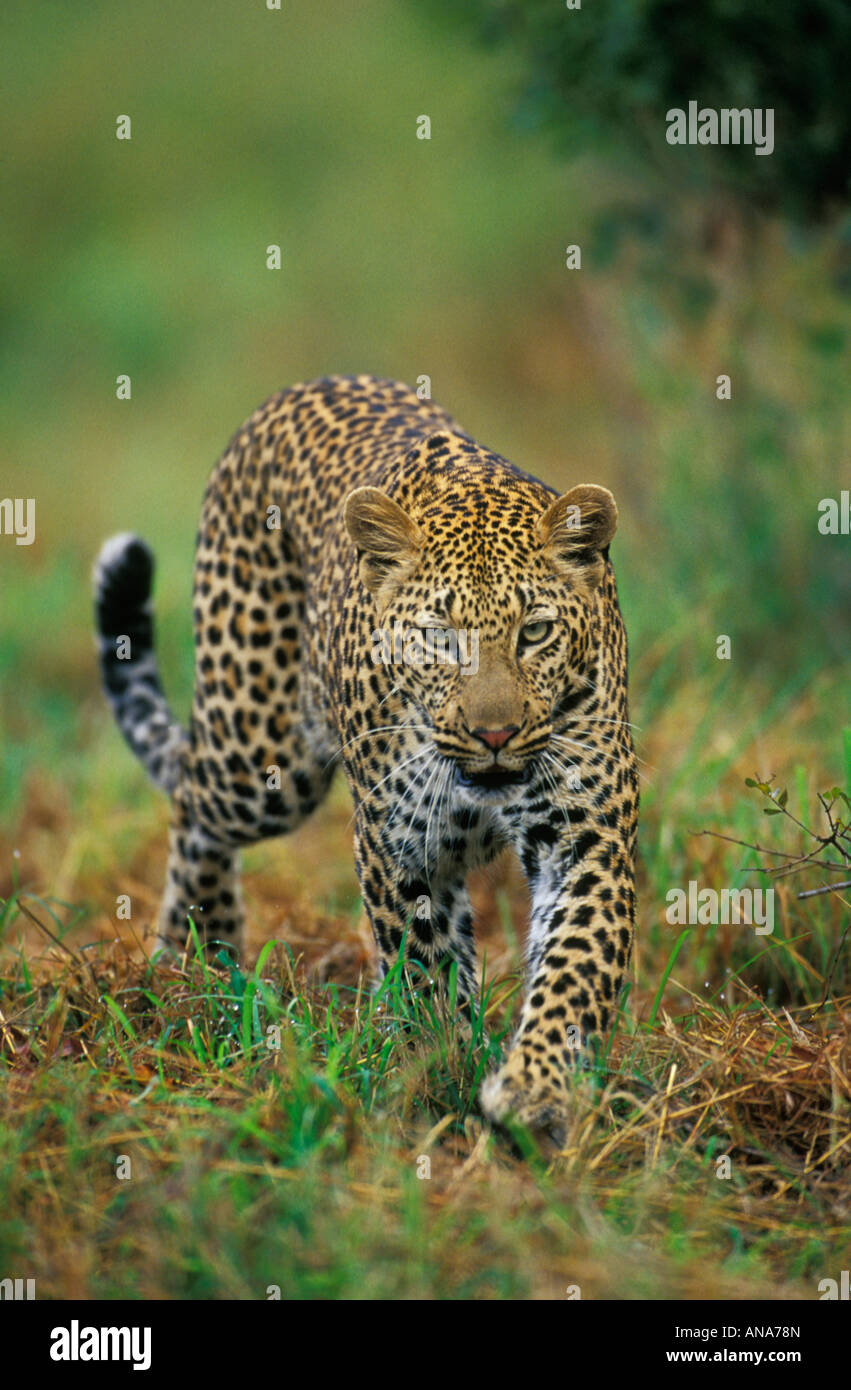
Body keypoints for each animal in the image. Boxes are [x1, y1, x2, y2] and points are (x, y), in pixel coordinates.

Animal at [94, 374, 638, 1135]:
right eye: (439, 637)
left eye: (534, 633)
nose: (494, 734)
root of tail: (304, 386)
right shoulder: (397, 843)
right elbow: (422, 966)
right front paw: (433, 1071)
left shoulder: (585, 833)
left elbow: (576, 961)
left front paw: (534, 1089)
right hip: (260, 758)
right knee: (193, 800)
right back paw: (198, 957)